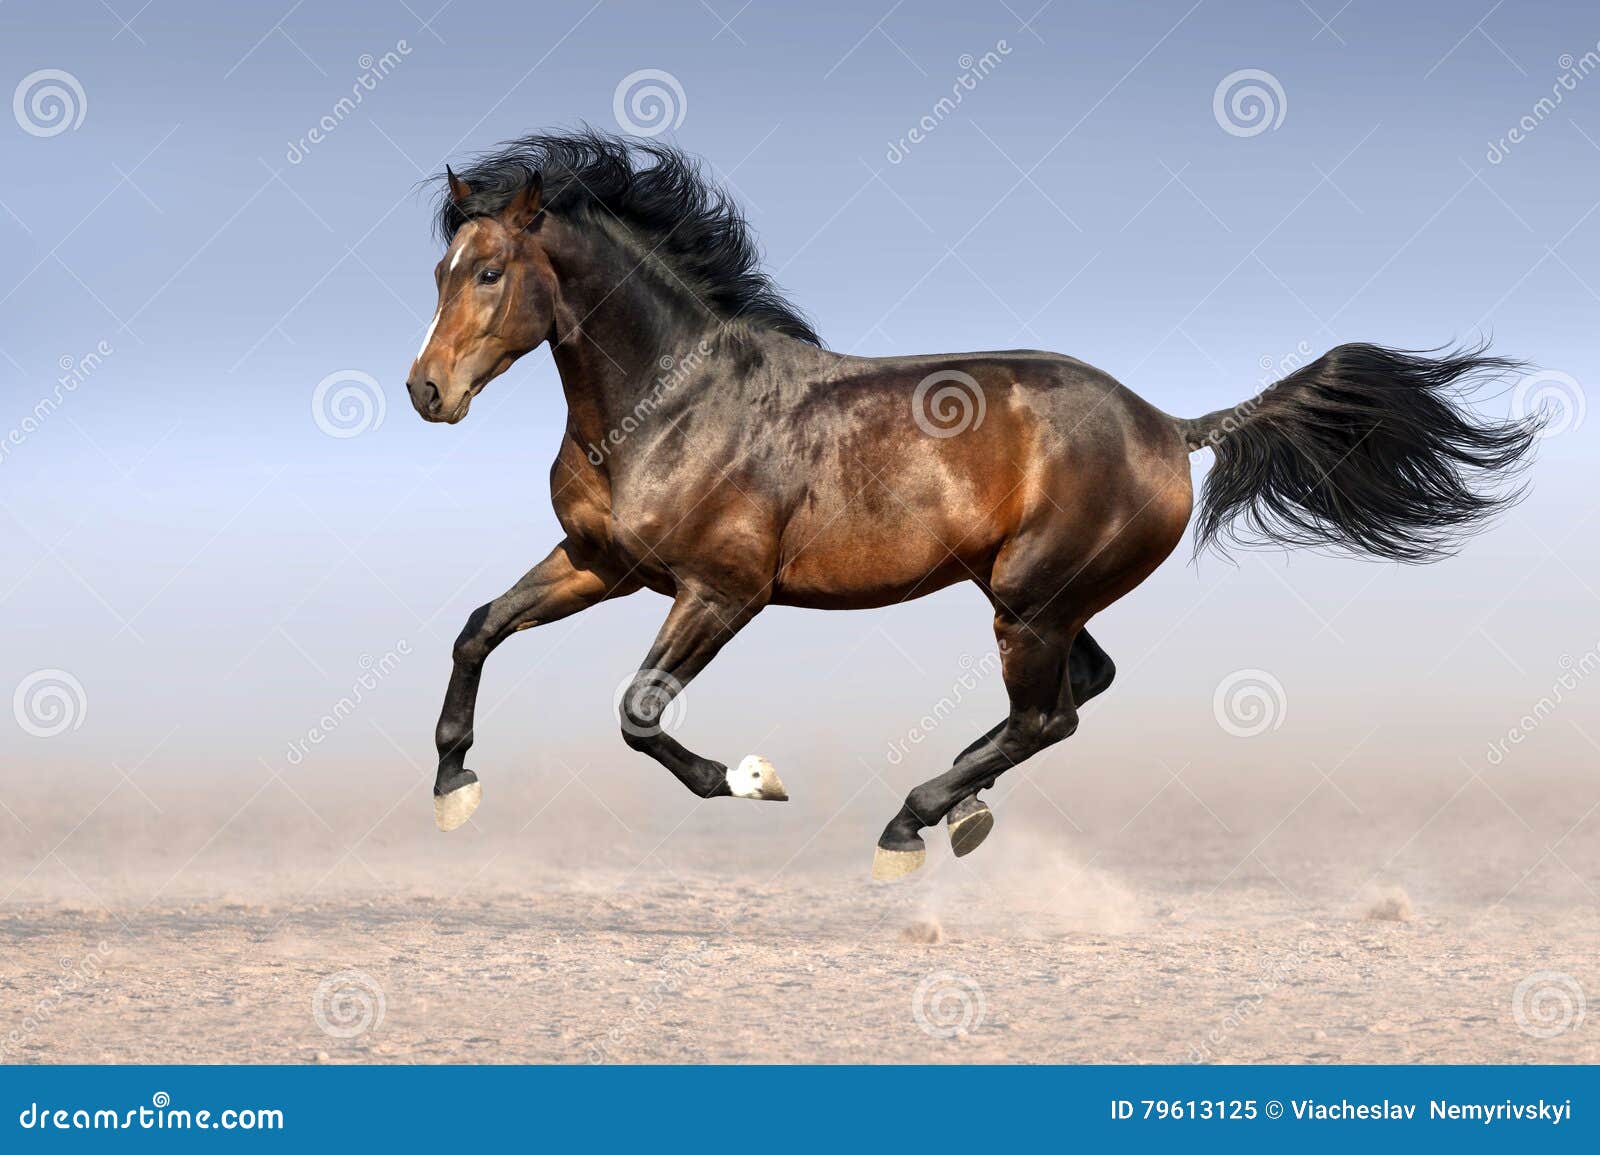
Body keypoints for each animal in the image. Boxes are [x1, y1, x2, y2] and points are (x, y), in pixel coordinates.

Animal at [405, 129, 1539, 880]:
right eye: (440, 270)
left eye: (491, 271)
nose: (426, 391)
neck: (673, 404)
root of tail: (1168, 425)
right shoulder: (601, 562)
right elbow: (476, 629)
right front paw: (453, 786)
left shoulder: (722, 590)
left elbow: (639, 716)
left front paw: (755, 779)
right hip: (1033, 595)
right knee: (1080, 689)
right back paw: (960, 802)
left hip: (1031, 599)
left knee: (1050, 711)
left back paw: (913, 821)